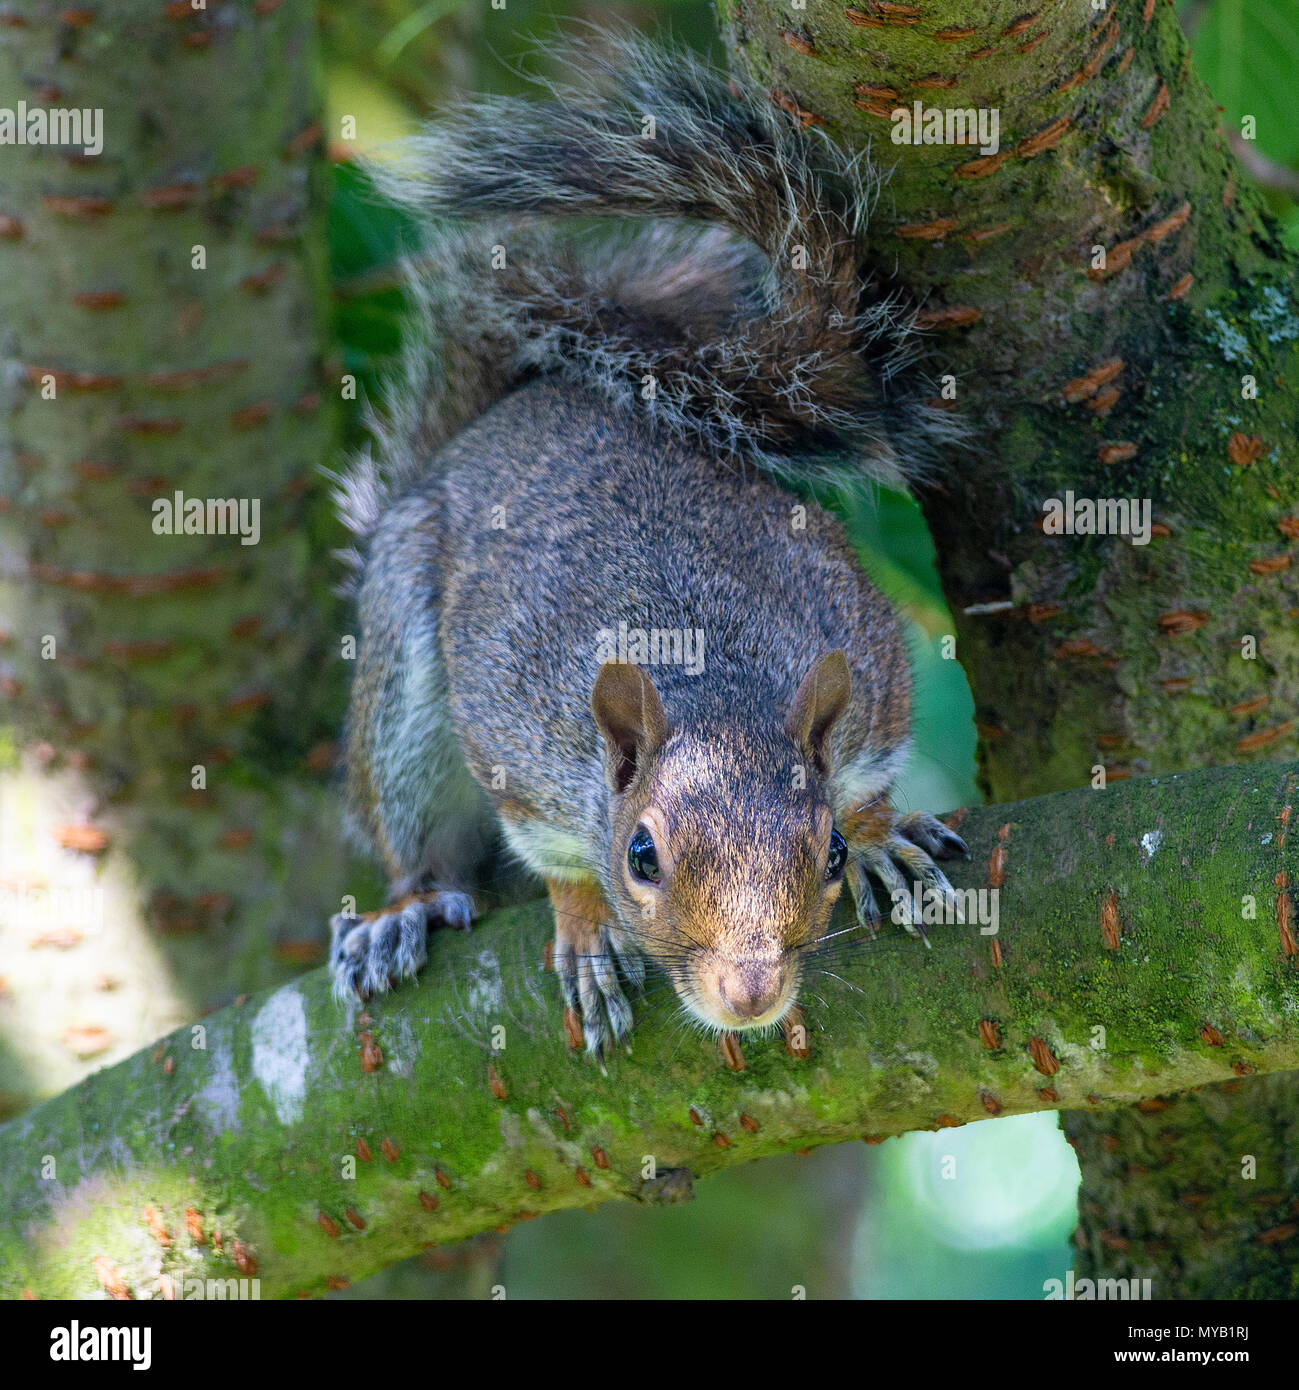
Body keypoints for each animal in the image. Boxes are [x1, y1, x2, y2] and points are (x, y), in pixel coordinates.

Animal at [329, 33, 968, 1055]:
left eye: (825, 851)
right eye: (640, 856)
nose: (748, 993)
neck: (715, 678)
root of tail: (504, 417)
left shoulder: (867, 668)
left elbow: (869, 775)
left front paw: (883, 839)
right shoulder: (519, 740)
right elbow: (554, 857)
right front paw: (587, 929)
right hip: (395, 684)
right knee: (411, 833)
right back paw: (408, 908)